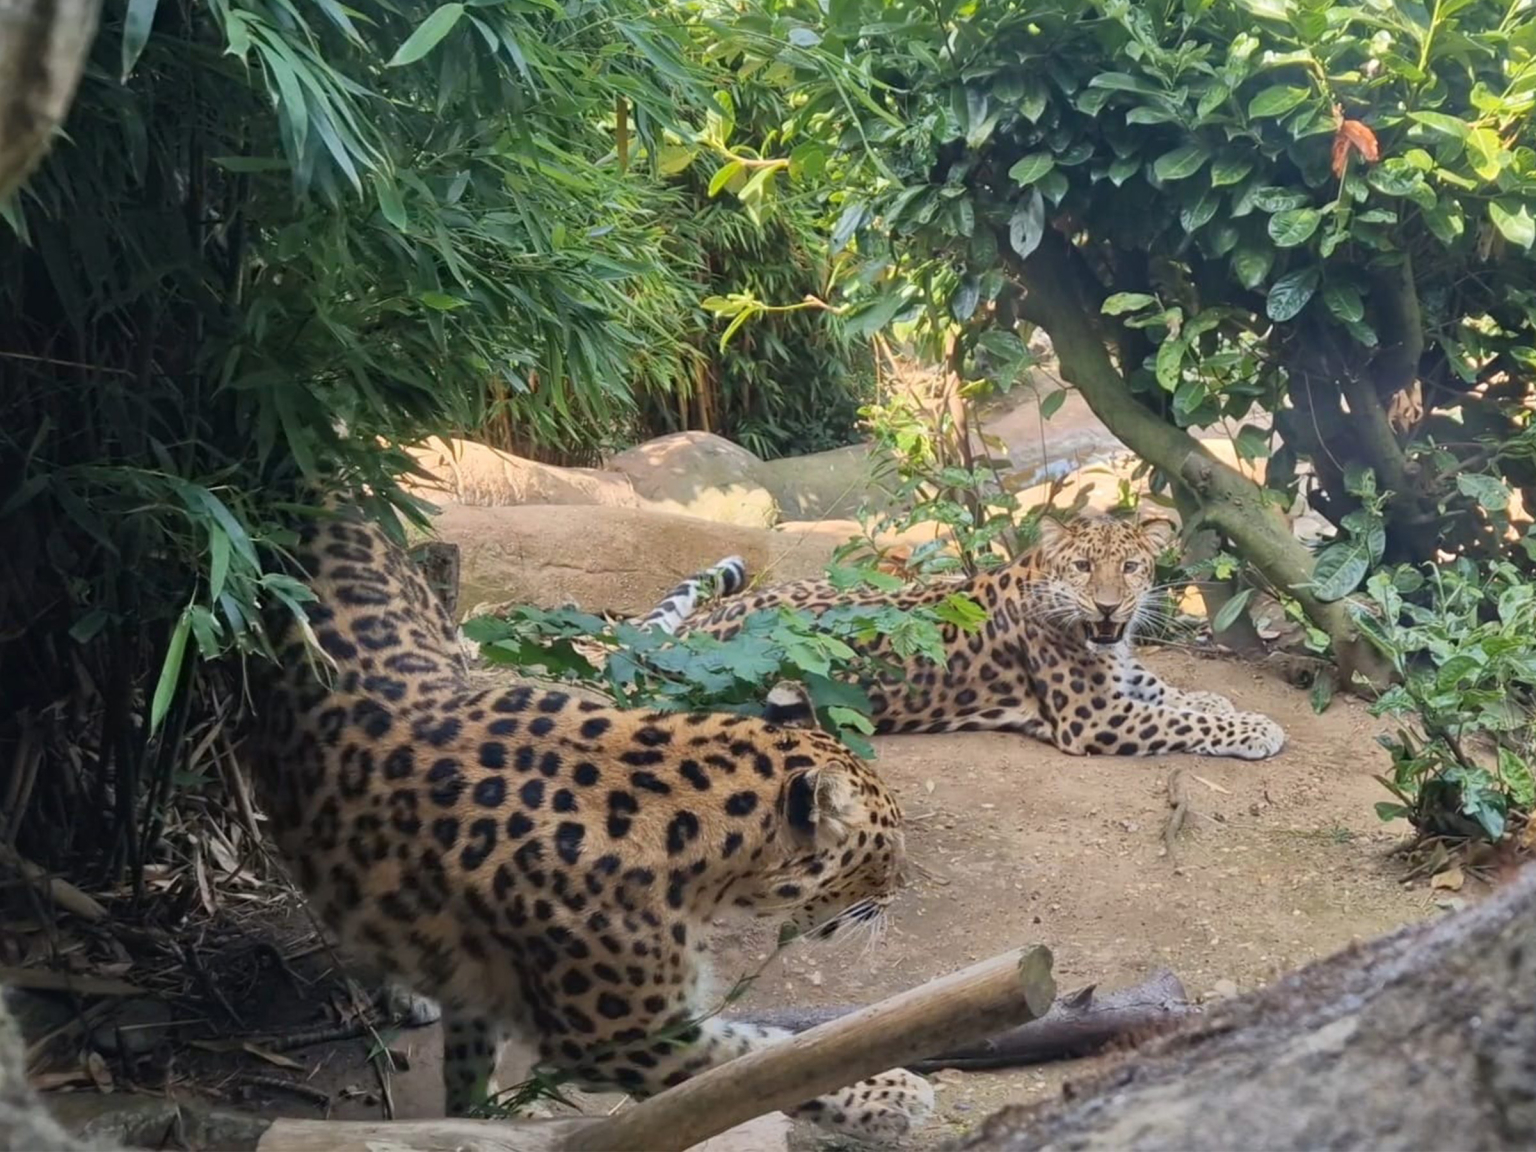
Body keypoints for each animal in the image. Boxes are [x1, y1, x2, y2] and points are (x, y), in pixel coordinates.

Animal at [243, 505, 933, 1140]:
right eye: (886, 850)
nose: (900, 890)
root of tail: (323, 497)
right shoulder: (626, 1037)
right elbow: (763, 1061)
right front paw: (889, 1093)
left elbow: (471, 1056)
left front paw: (479, 1117)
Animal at [652, 513, 1286, 760]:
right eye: (1083, 567)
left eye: (1130, 568)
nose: (1108, 605)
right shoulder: (1094, 718)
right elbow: (1181, 720)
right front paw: (1257, 728)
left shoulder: (1122, 676)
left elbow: (1170, 691)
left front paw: (1220, 701)